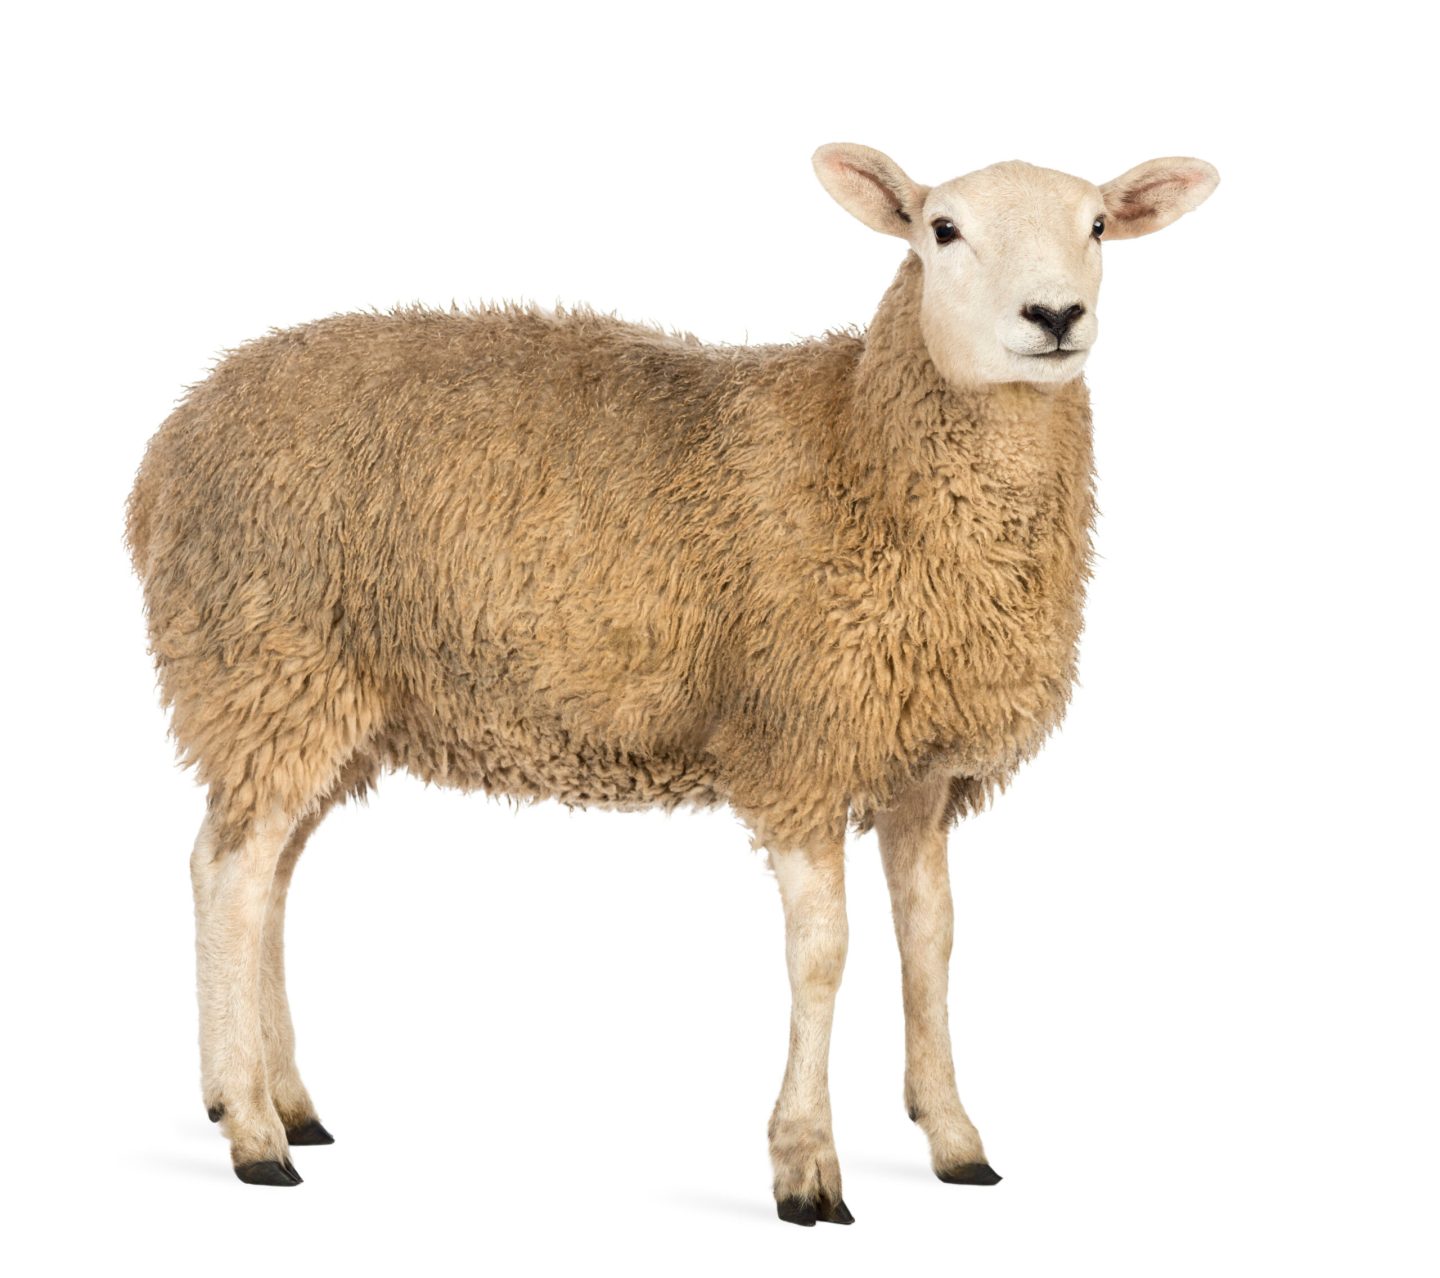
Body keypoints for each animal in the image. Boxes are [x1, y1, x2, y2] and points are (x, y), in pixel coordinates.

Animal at [126, 143, 1218, 1221]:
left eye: (1097, 225)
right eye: (941, 230)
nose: (1055, 316)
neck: (858, 442)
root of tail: (175, 437)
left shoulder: (919, 766)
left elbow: (932, 944)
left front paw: (953, 1138)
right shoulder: (799, 742)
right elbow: (824, 953)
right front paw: (805, 1166)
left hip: (324, 704)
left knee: (269, 879)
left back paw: (277, 1100)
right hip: (266, 660)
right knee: (226, 876)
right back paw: (255, 1137)